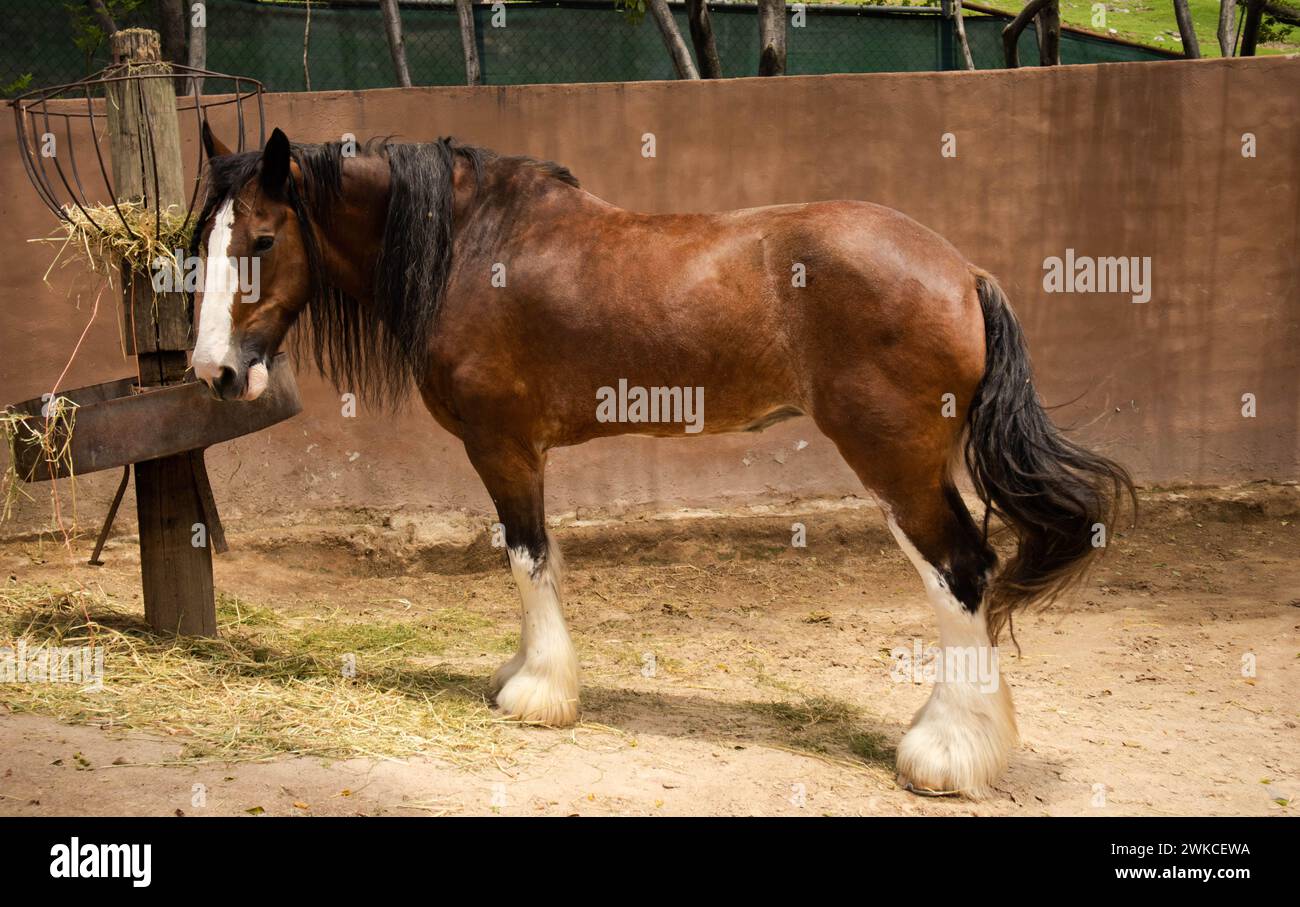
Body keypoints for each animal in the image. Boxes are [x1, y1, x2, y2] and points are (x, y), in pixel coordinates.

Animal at [189, 125, 1133, 798]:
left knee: (961, 574)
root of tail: (963, 270)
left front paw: (538, 691)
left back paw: (946, 752)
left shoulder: (501, 443)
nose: (214, 372)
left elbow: (527, 556)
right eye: (203, 239)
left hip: (895, 466)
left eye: (263, 240)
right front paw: (525, 674)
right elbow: (537, 560)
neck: (475, 247)